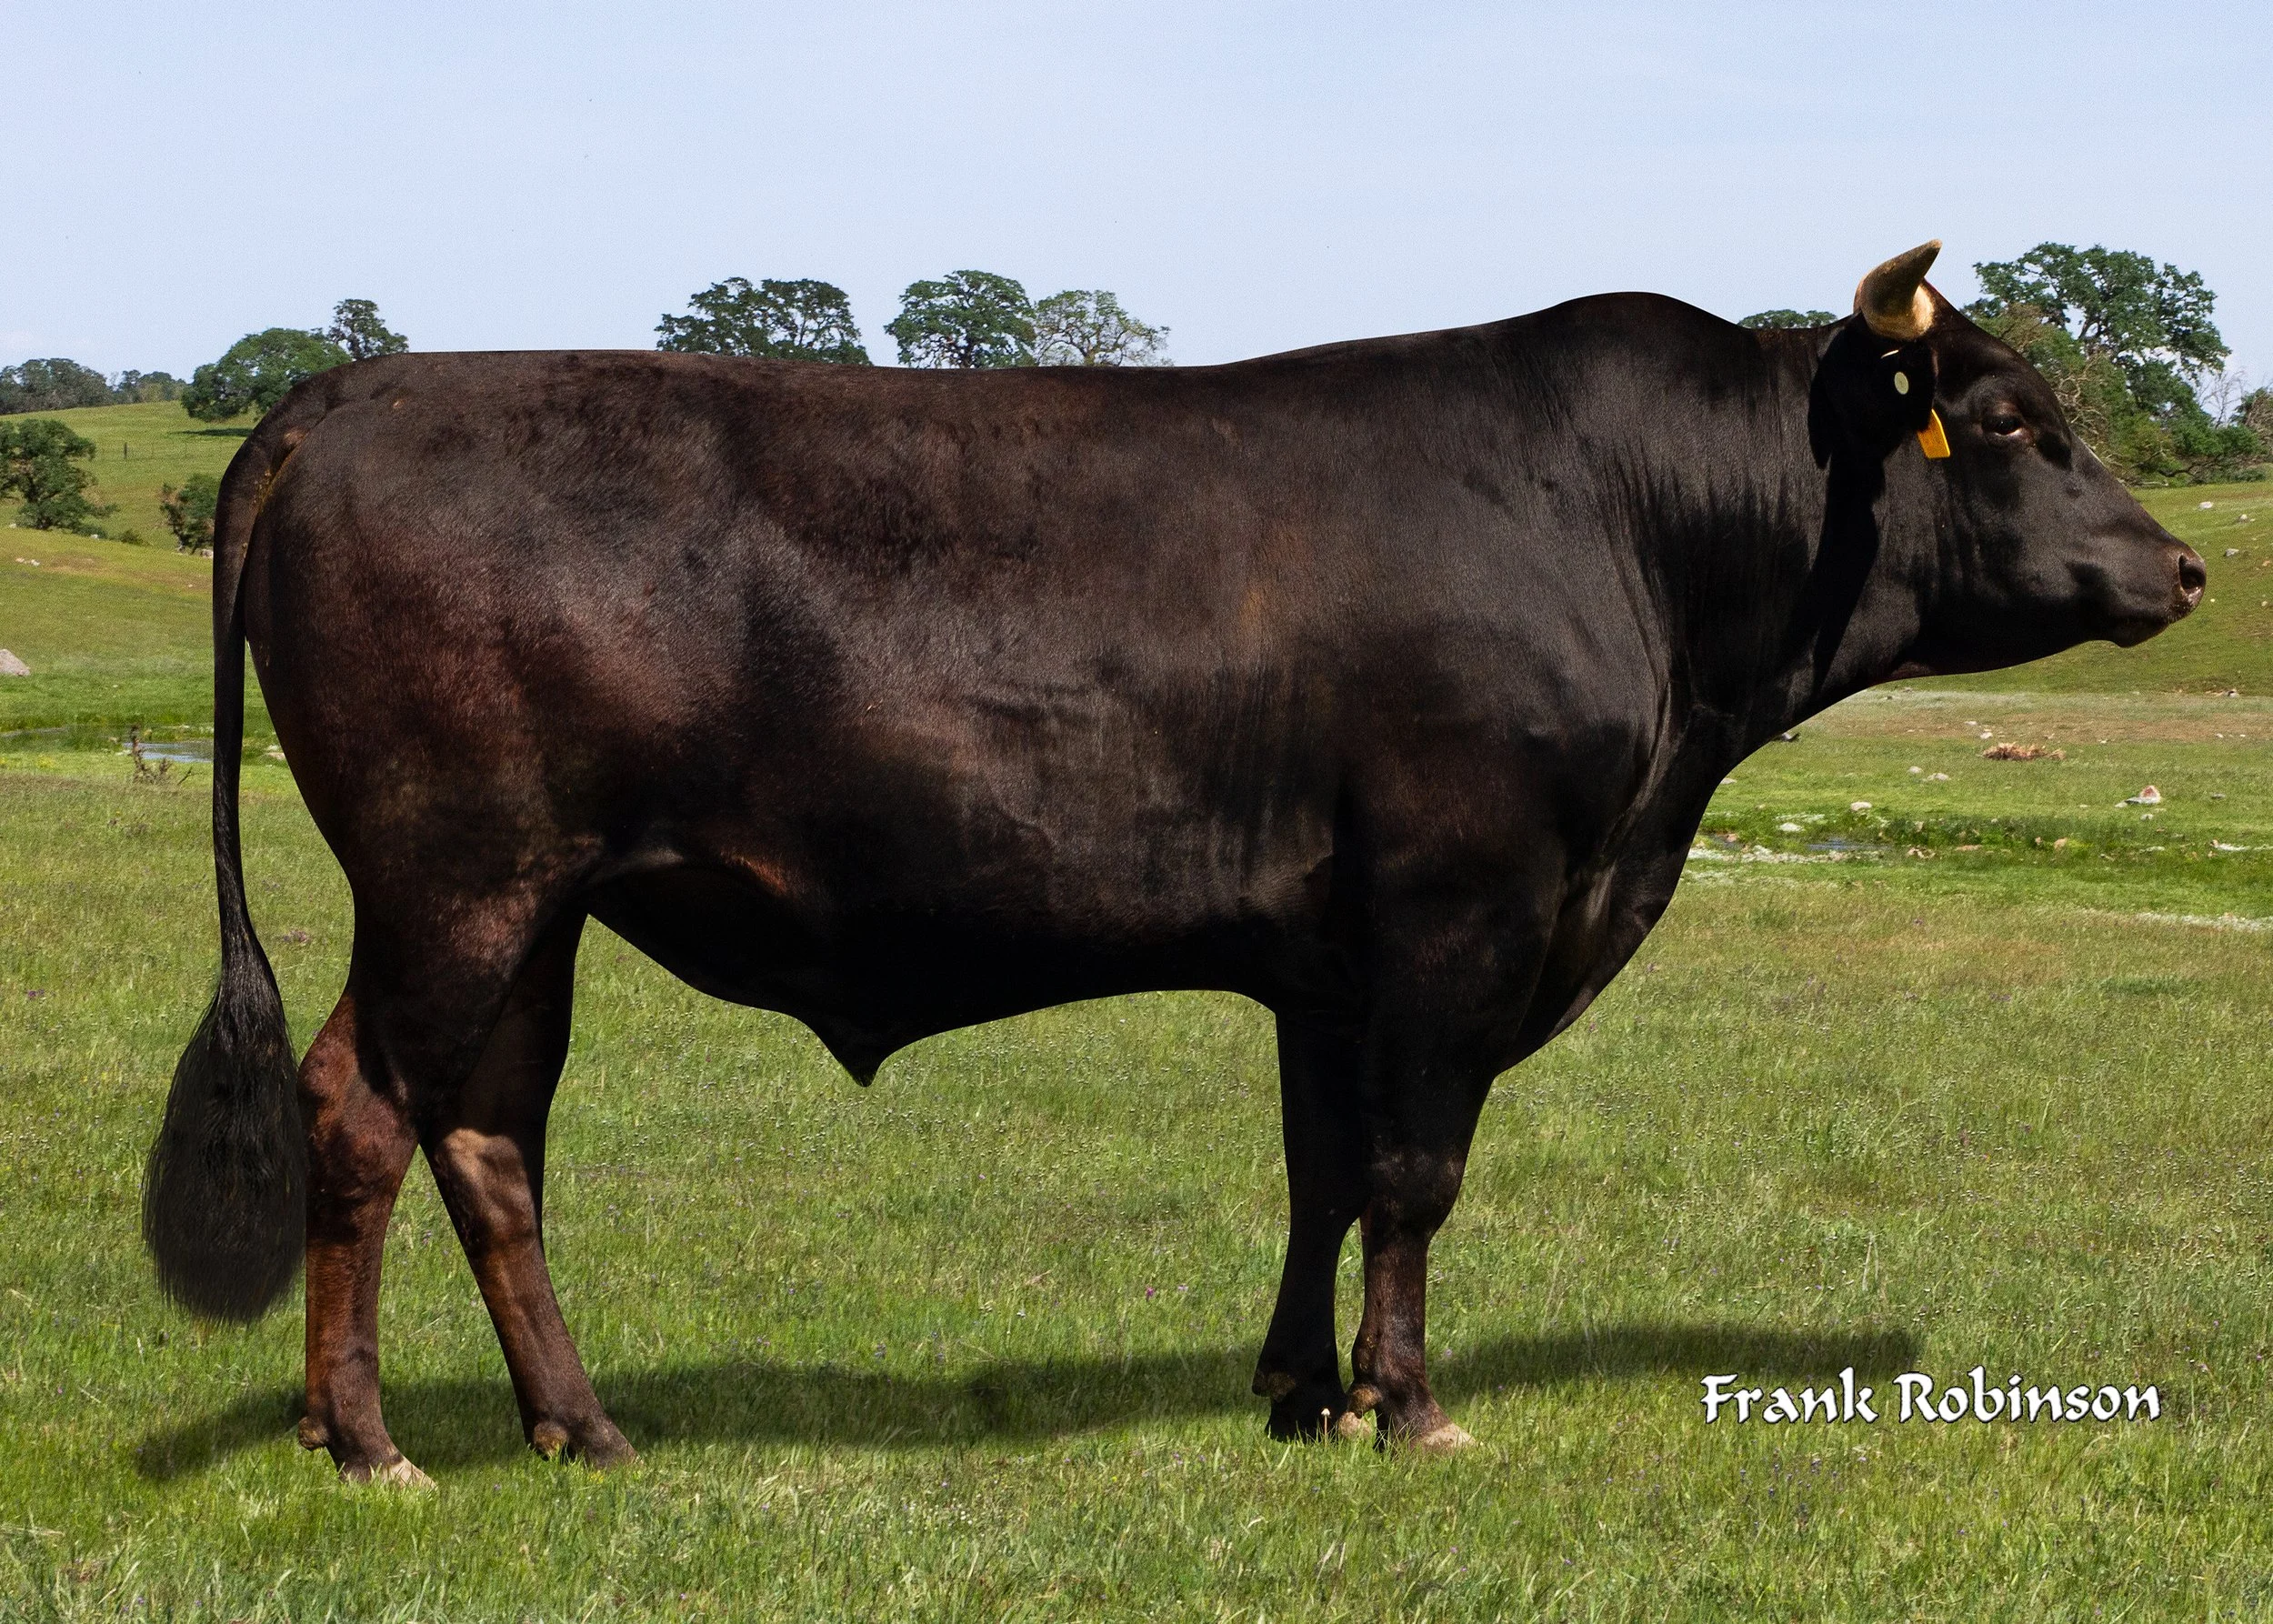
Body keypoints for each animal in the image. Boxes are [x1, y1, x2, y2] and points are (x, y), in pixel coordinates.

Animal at [143, 243, 2203, 1483]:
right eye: (2007, 423)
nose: (2182, 566)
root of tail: (357, 389)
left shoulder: (1324, 954)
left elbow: (1318, 1167)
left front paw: (1301, 1389)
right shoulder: (1459, 909)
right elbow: (1413, 1170)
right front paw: (1412, 1407)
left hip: (540, 902)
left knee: (490, 1138)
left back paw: (581, 1427)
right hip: (454, 874)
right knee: (359, 1108)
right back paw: (368, 1441)